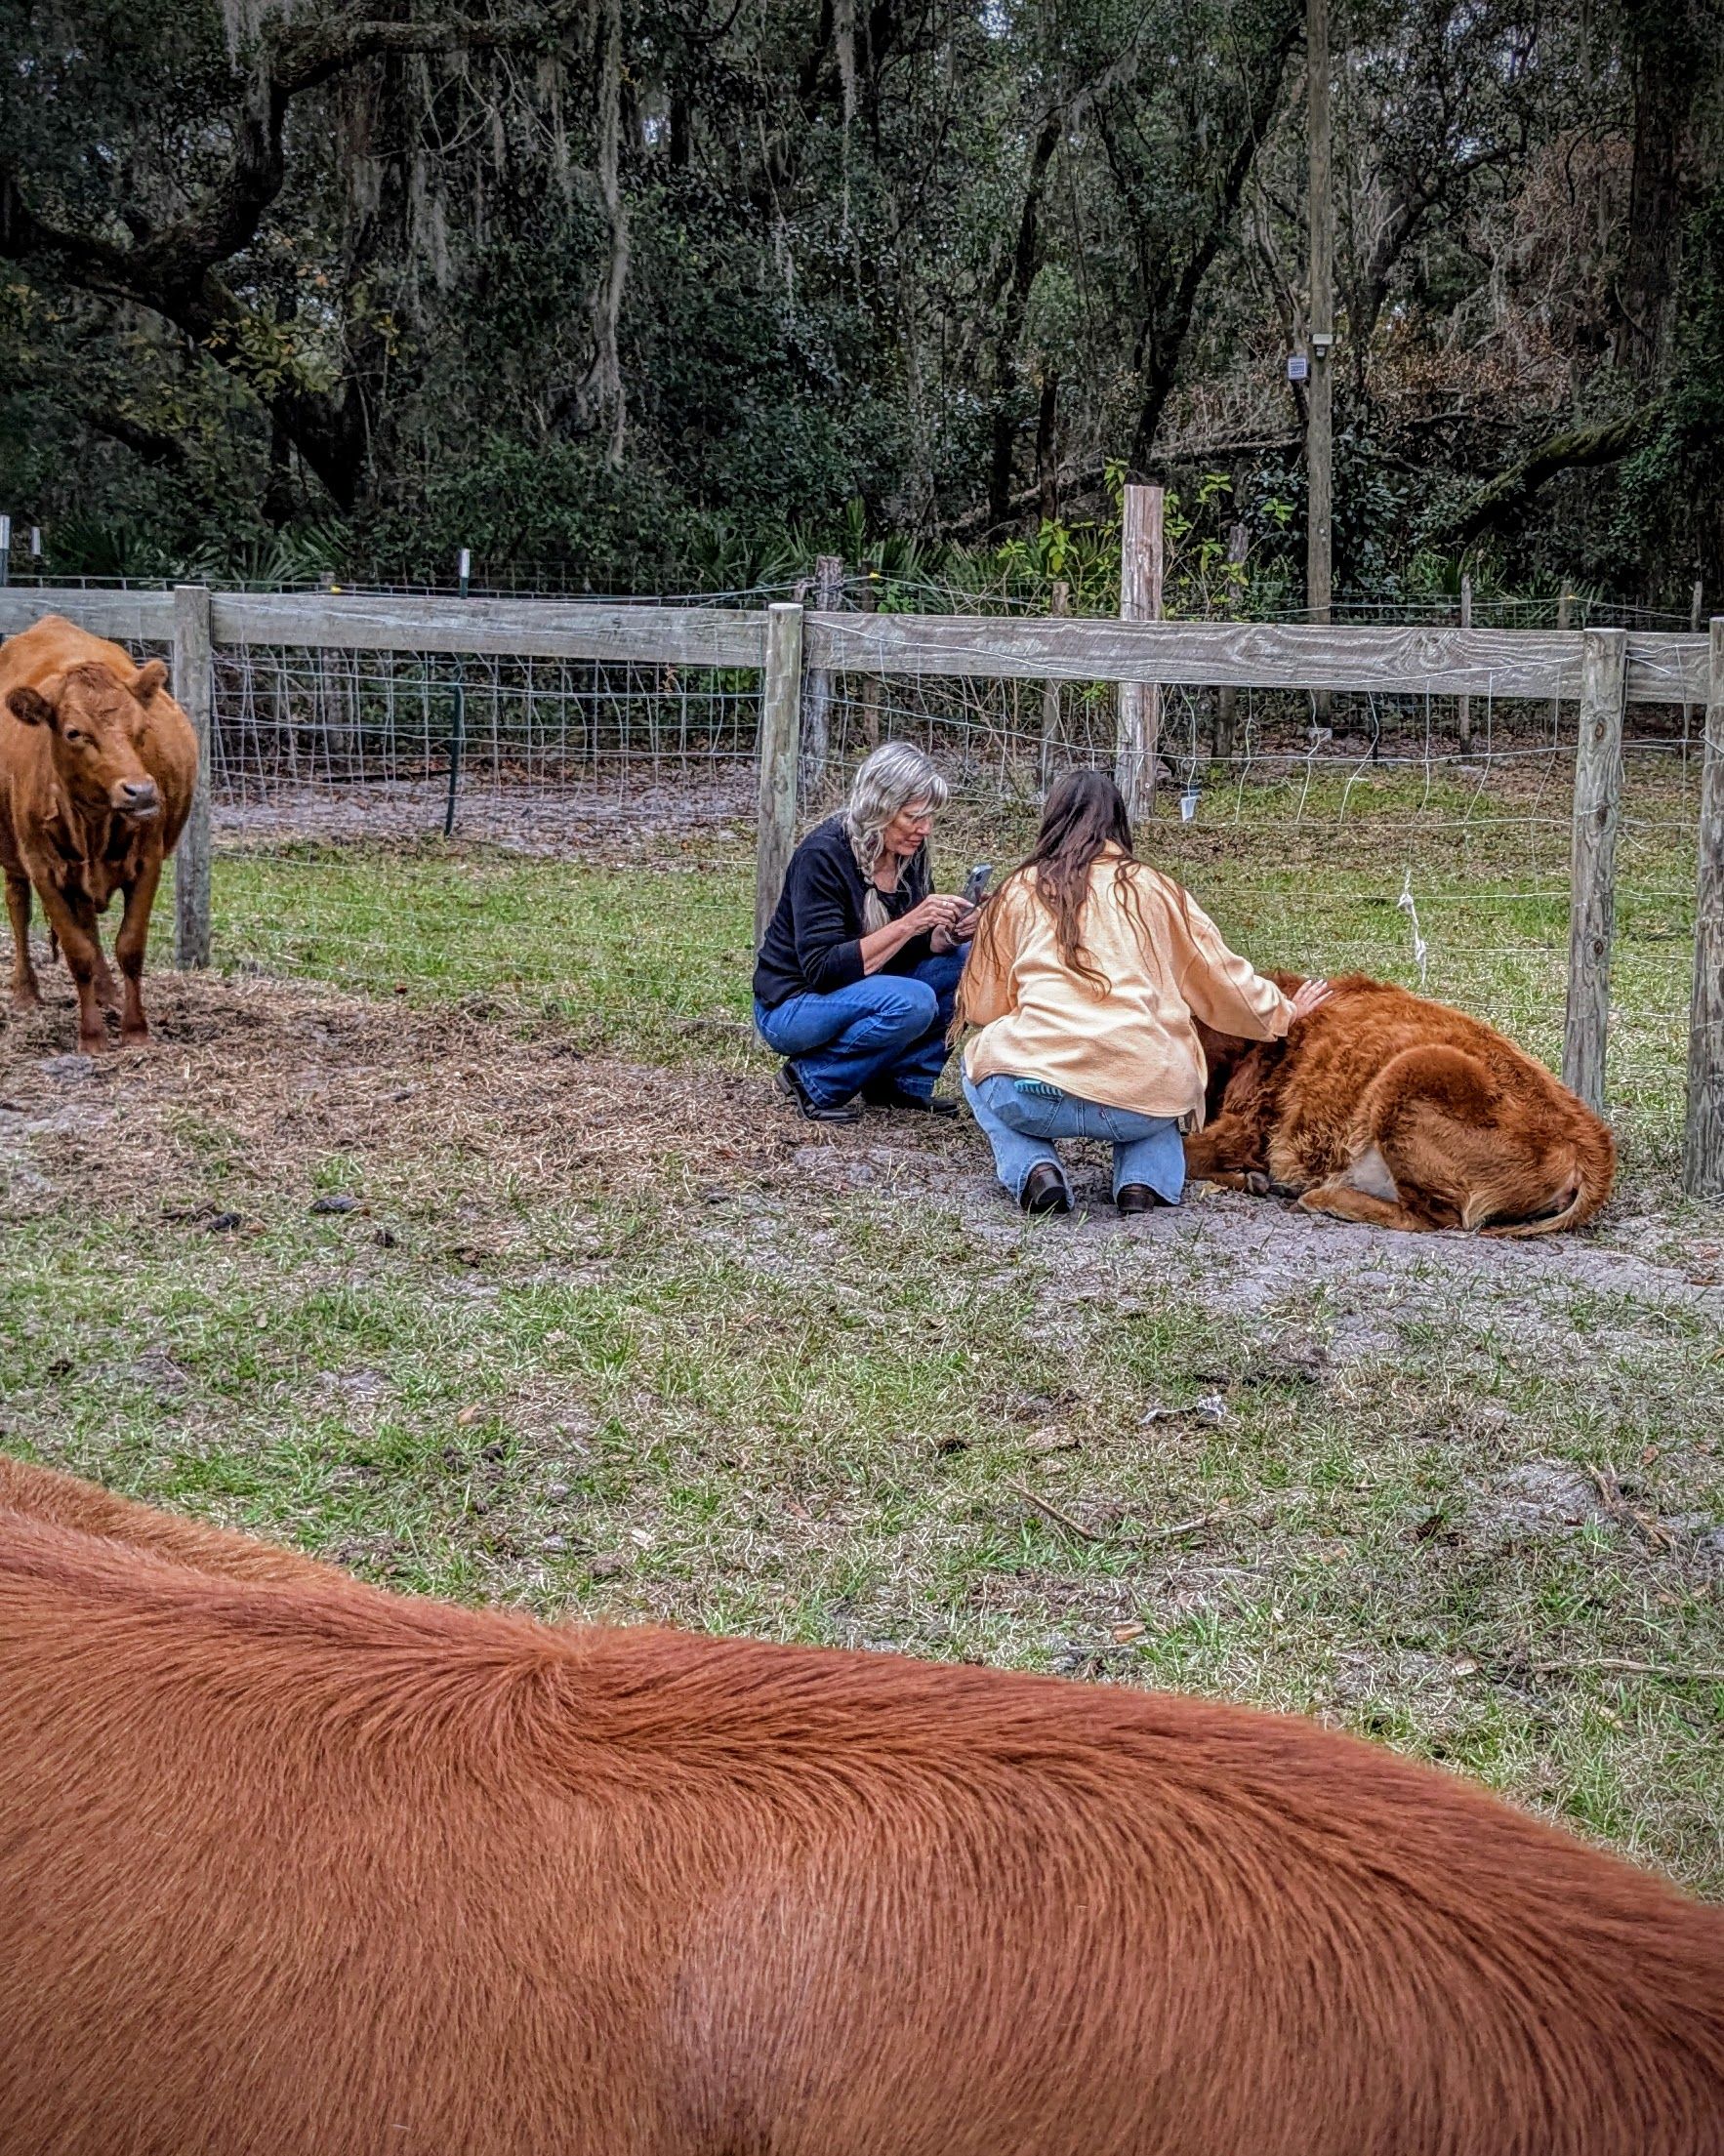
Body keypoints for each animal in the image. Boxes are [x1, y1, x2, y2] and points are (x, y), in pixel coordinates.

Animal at [0, 613, 198, 1052]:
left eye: (142, 727)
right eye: (74, 732)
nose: (141, 791)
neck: (92, 819)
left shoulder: (148, 861)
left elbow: (129, 947)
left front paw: (135, 1029)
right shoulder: (42, 867)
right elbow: (78, 954)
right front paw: (91, 1036)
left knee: (88, 919)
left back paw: (108, 993)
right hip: (12, 854)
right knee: (18, 906)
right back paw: (25, 991)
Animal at [1185, 971, 1616, 1236]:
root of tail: (1590, 1138)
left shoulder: (1243, 1128)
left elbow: (1188, 1156)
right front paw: (1250, 1180)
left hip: (1412, 1072)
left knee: (1434, 1219)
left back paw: (1319, 1197)